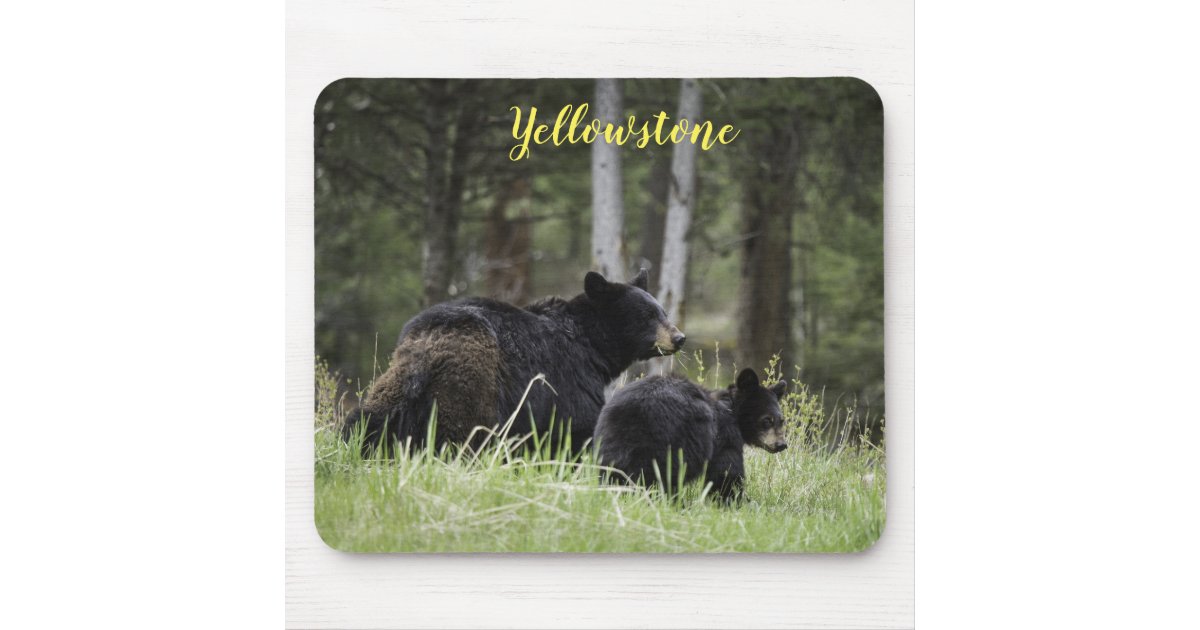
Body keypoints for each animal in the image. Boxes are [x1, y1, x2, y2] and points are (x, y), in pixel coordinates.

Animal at [341, 269, 685, 455]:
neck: (592, 347)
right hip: (470, 389)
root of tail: (427, 351)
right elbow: (578, 427)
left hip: (394, 388)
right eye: (647, 315)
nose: (679, 337)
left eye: (663, 311)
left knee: (366, 421)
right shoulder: (567, 378)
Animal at [593, 368, 788, 502]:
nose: (781, 444)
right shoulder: (724, 435)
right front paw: (738, 501)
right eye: (767, 420)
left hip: (609, 441)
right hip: (669, 442)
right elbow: (725, 473)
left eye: (782, 420)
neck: (731, 409)